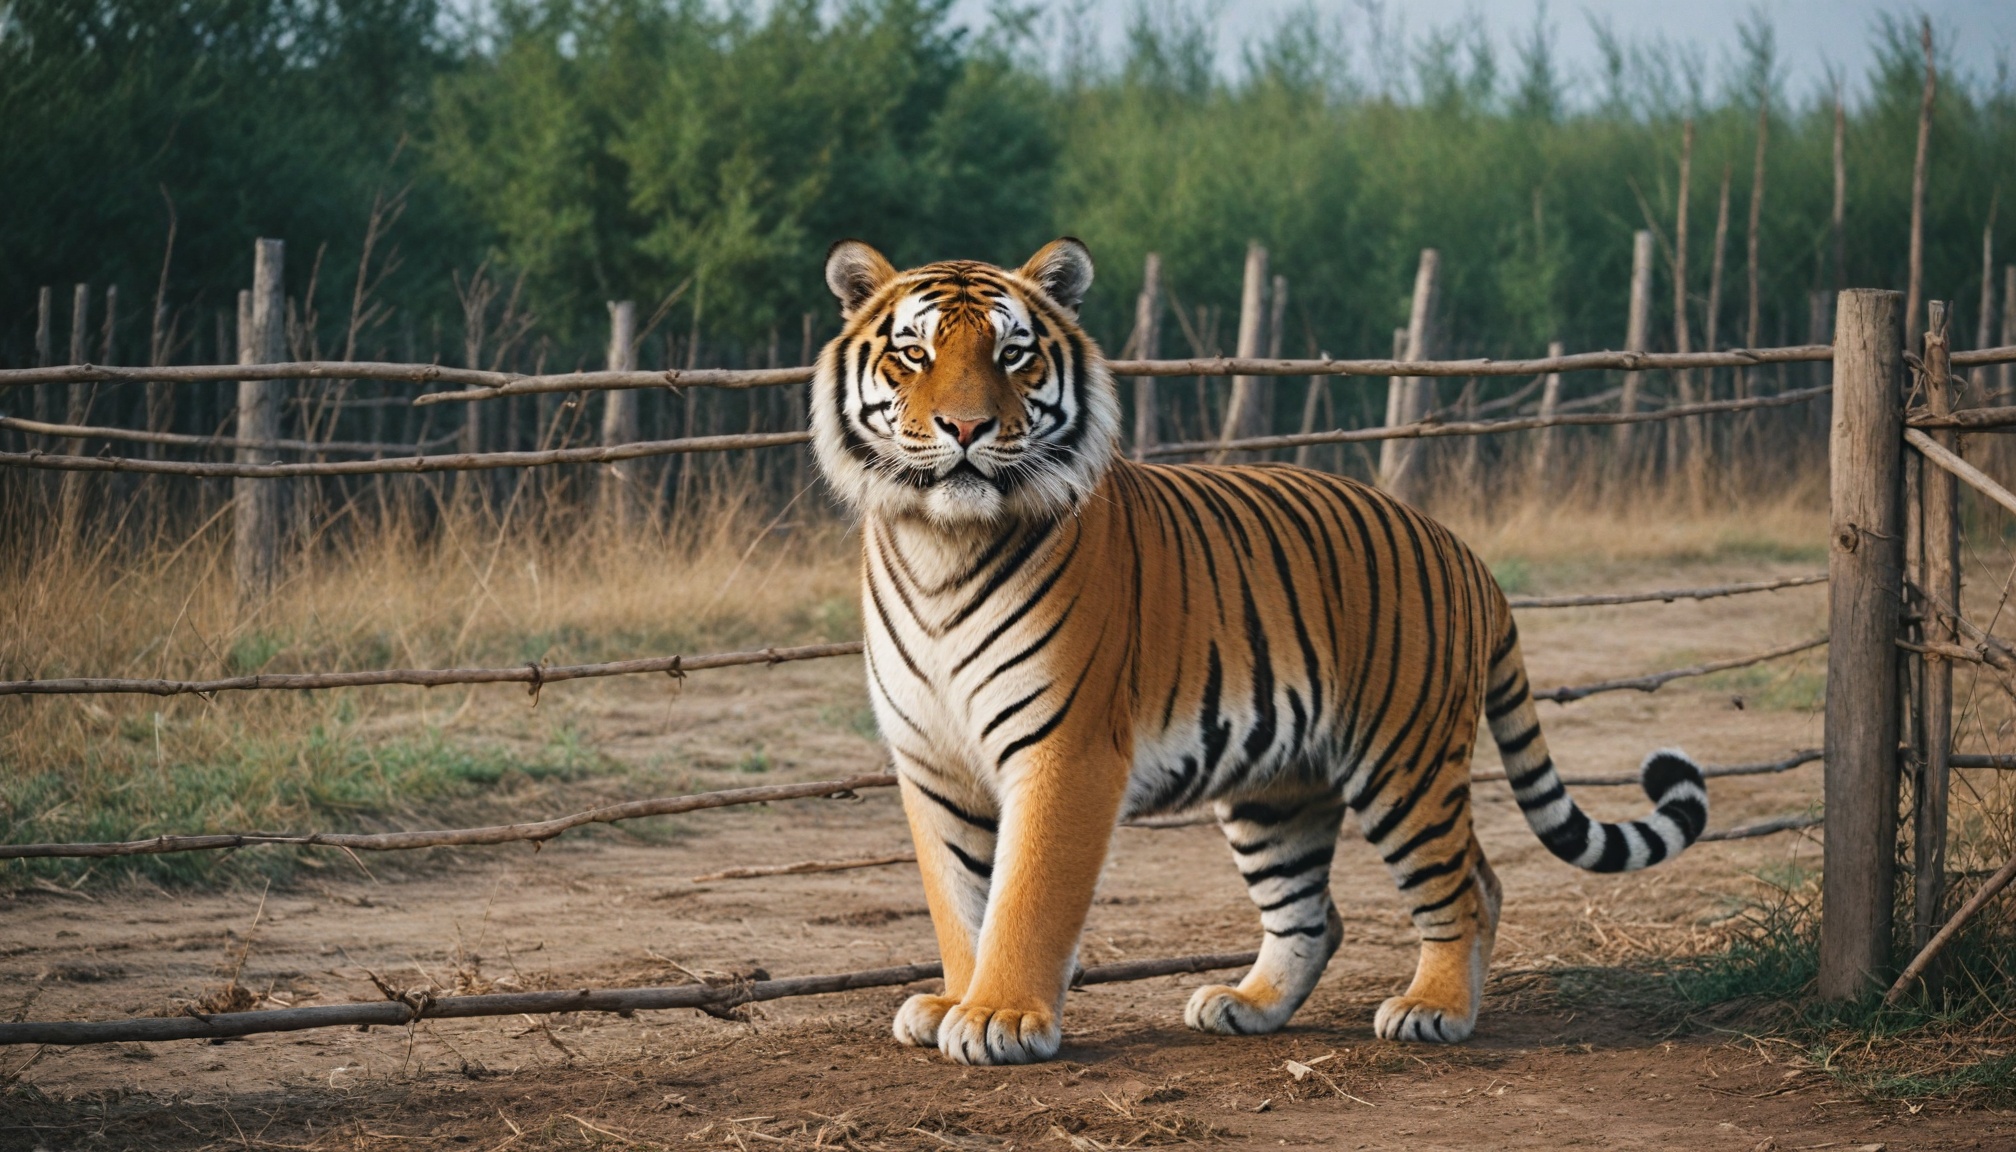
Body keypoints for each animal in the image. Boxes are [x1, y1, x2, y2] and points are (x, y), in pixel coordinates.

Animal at [810, 239, 1709, 1065]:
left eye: (1013, 353)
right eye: (914, 352)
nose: (966, 428)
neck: (940, 544)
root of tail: (1461, 549)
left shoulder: (1064, 749)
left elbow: (1025, 896)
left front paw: (999, 1017)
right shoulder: (932, 761)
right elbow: (958, 900)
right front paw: (952, 1003)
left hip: (1404, 761)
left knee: (1471, 886)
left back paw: (1433, 1009)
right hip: (1278, 788)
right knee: (1312, 914)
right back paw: (1248, 1004)